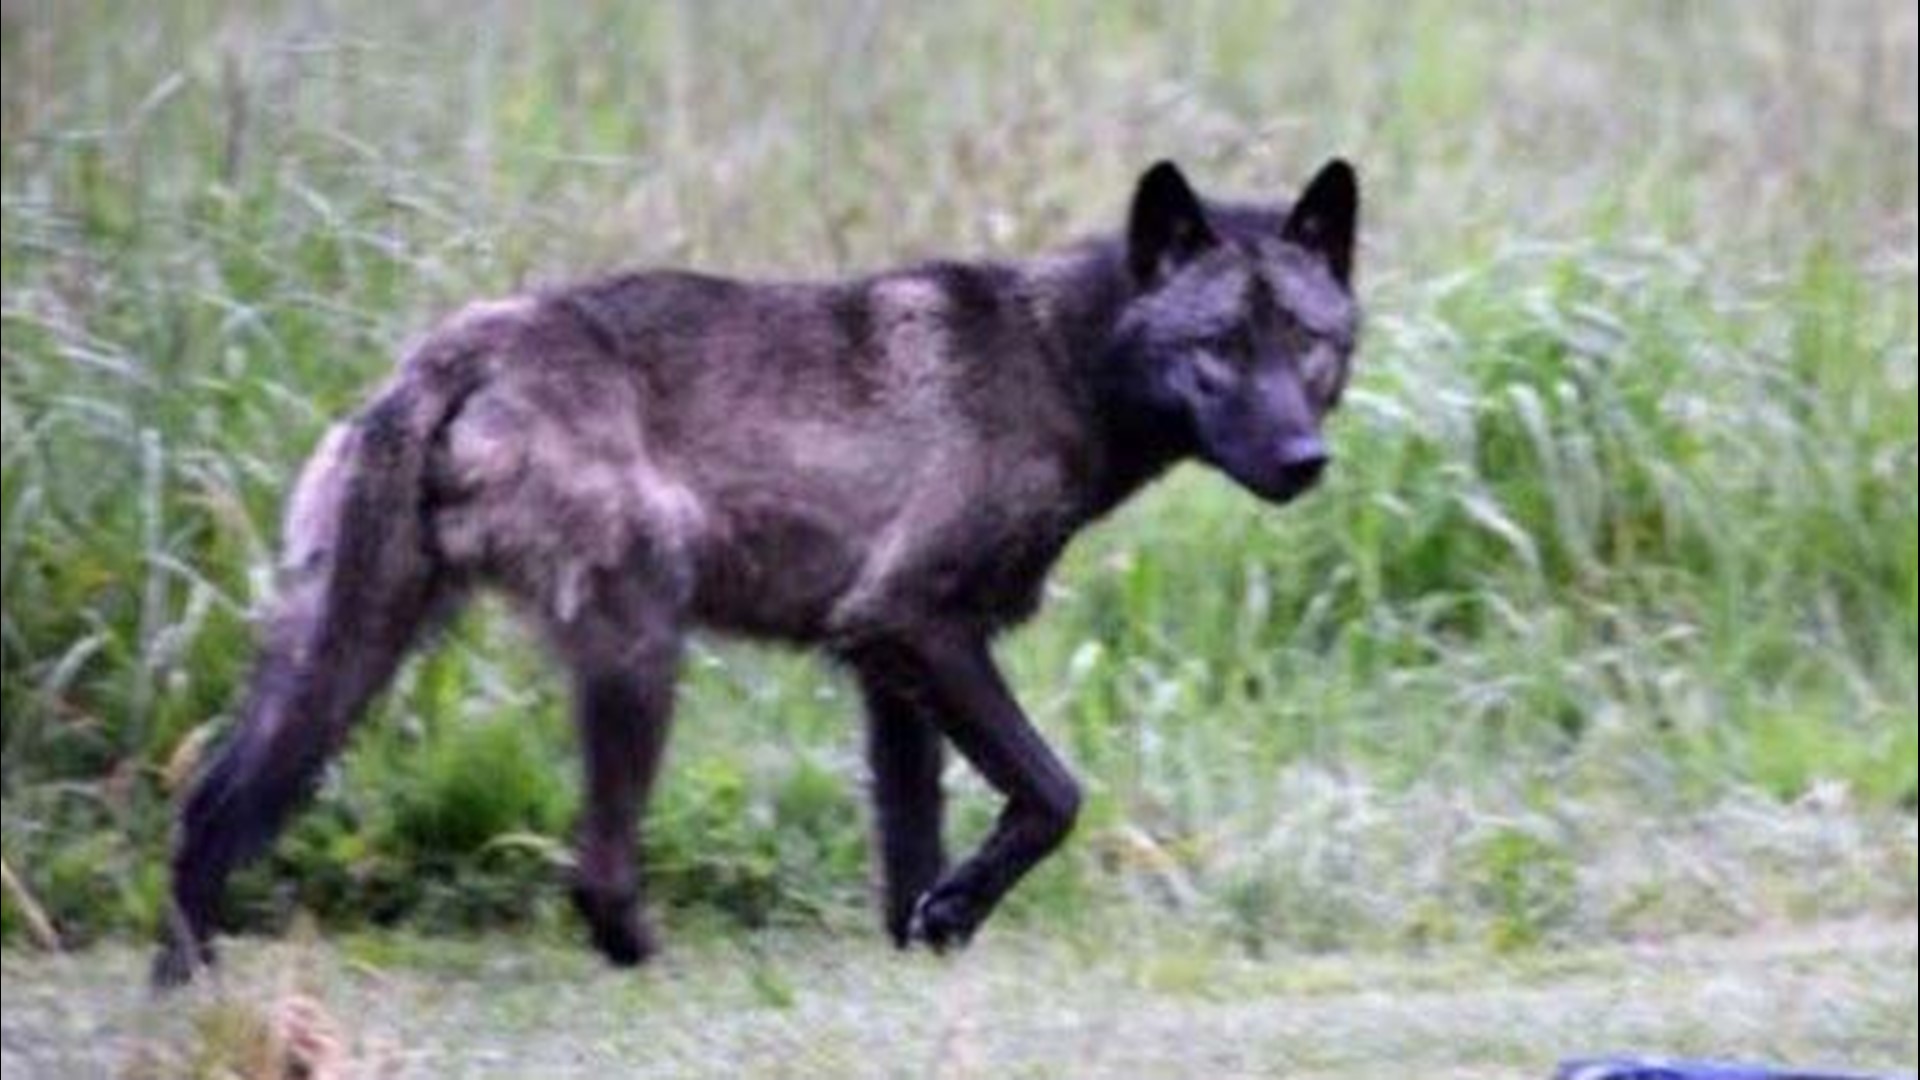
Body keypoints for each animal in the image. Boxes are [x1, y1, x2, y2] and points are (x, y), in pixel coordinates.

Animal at [153, 158, 1361, 986]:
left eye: (1306, 342)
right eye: (1221, 346)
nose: (1308, 463)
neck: (1062, 360)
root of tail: (451, 358)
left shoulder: (889, 669)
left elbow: (911, 841)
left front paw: (926, 940)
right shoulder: (916, 624)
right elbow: (1055, 794)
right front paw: (957, 913)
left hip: (343, 667)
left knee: (208, 815)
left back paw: (187, 996)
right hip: (639, 652)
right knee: (595, 867)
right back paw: (647, 966)